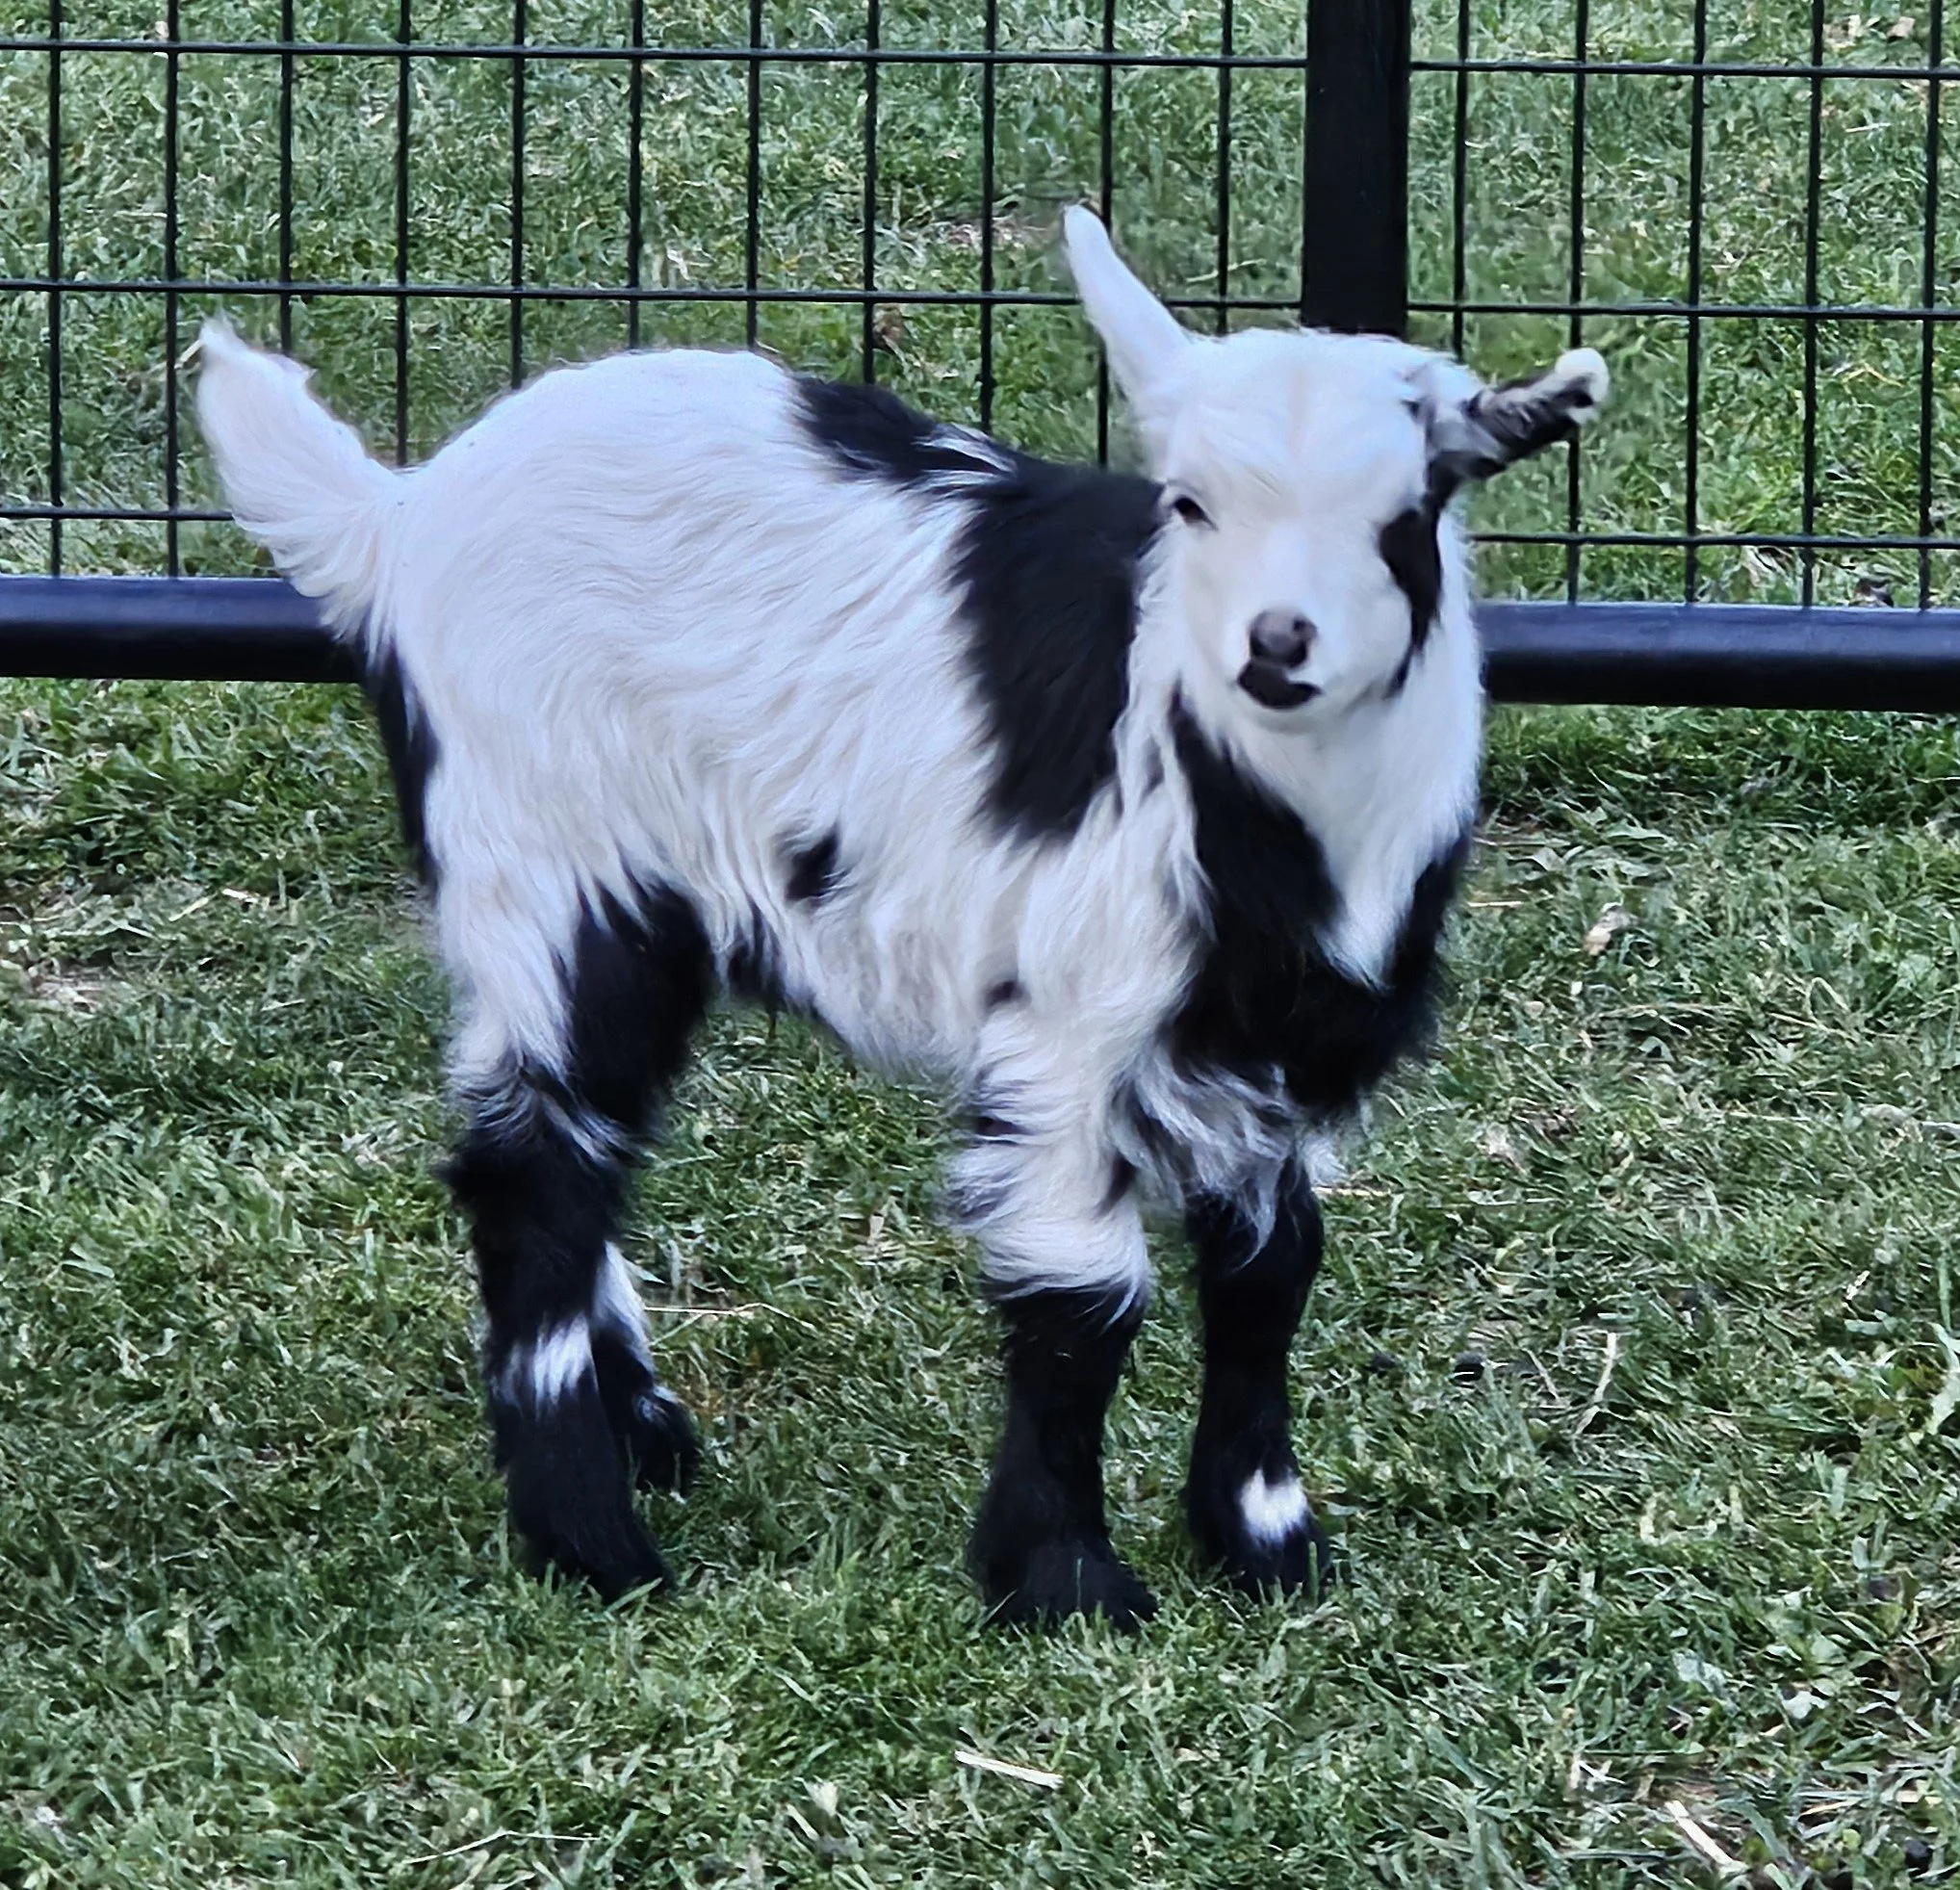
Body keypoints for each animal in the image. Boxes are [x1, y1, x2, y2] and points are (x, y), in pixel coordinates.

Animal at [194, 209, 1607, 1625]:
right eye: (1189, 502)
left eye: (1402, 515)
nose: (1274, 643)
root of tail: (396, 516)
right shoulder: (1071, 1013)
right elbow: (1083, 1299)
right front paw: (1063, 1577)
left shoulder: (1281, 1045)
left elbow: (1270, 1273)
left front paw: (1264, 1541)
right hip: (553, 857)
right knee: (535, 1170)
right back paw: (593, 1537)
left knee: (585, 1146)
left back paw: (644, 1433)